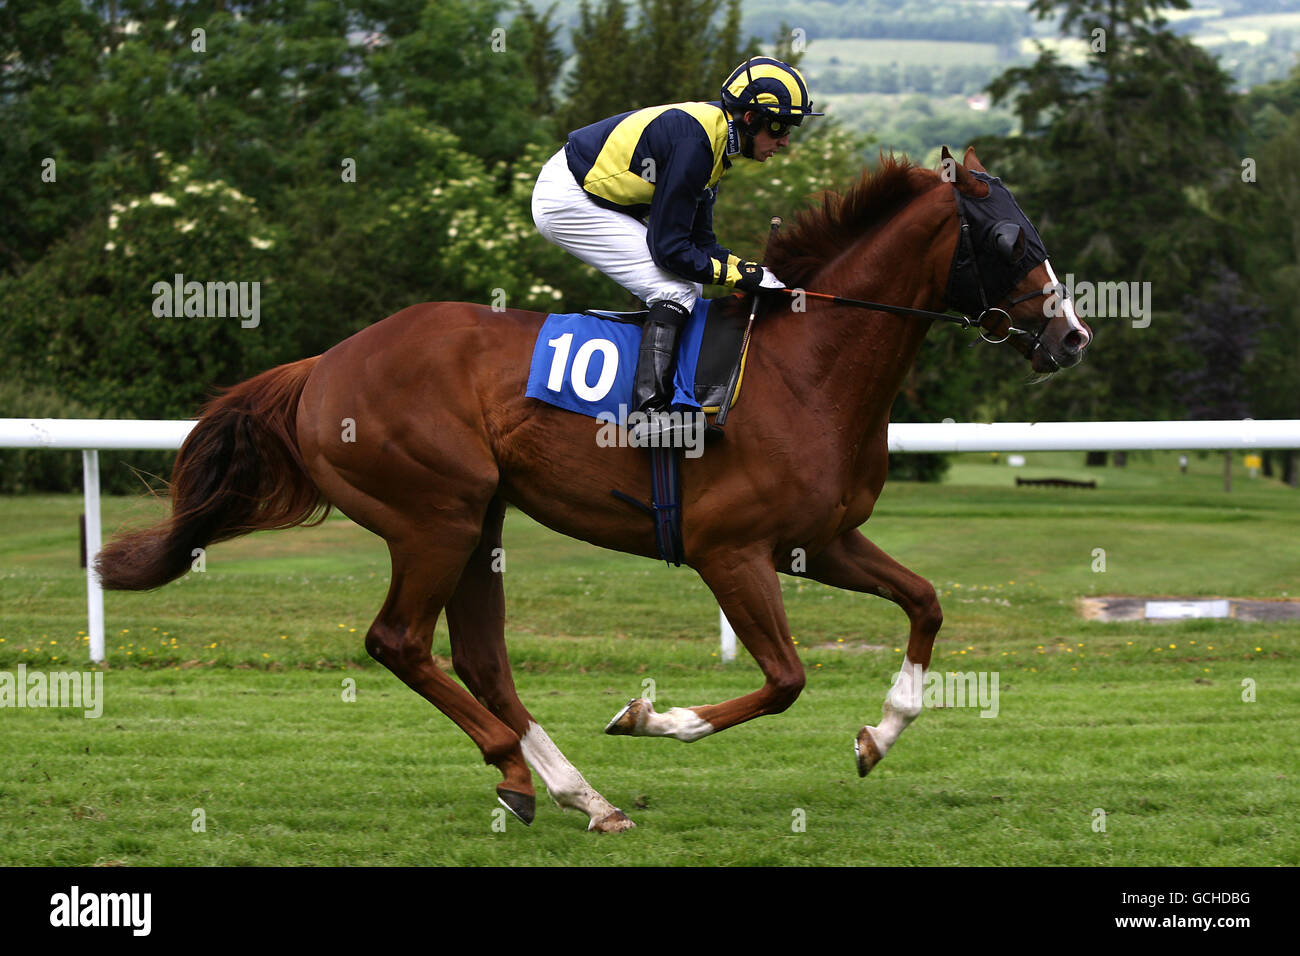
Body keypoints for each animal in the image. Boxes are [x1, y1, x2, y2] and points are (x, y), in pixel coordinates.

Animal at [97, 147, 1092, 833]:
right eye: (1014, 238)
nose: (1072, 336)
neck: (807, 368)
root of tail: (322, 368)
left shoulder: (823, 541)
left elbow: (925, 602)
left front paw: (879, 735)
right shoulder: (730, 551)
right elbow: (784, 680)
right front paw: (648, 714)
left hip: (480, 520)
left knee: (480, 659)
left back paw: (580, 795)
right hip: (432, 515)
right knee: (398, 642)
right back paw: (517, 770)